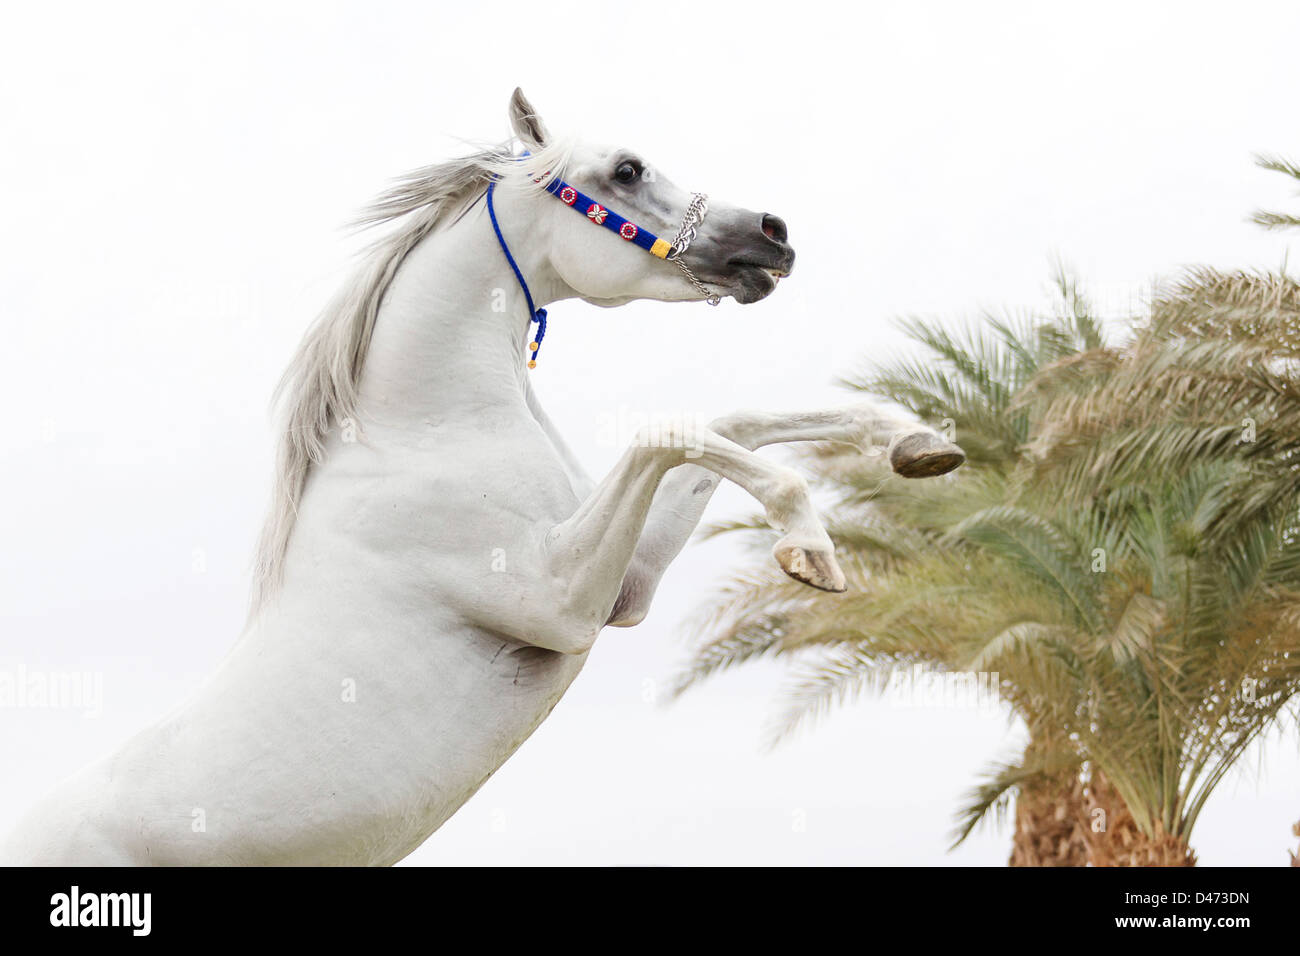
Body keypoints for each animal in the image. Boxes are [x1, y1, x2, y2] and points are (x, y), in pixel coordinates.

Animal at [1, 89, 963, 865]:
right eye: (625, 168)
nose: (773, 236)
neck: (425, 432)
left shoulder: (627, 585)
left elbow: (728, 423)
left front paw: (915, 443)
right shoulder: (556, 599)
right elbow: (673, 432)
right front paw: (811, 548)